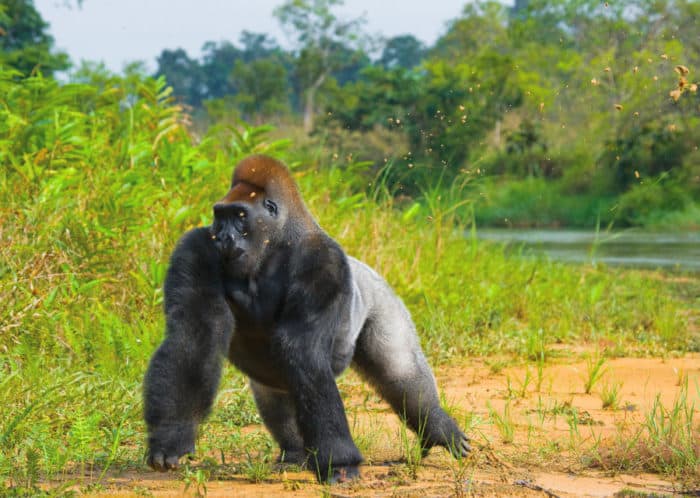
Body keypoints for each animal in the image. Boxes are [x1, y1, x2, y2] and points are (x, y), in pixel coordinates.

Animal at [143, 155, 470, 483]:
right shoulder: (196, 246)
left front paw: (338, 460)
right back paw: (296, 452)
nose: (223, 237)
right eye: (219, 217)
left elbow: (303, 348)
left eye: (240, 216)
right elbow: (195, 334)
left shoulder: (324, 260)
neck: (274, 244)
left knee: (398, 370)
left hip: (382, 299)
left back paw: (435, 425)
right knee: (276, 392)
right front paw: (171, 436)